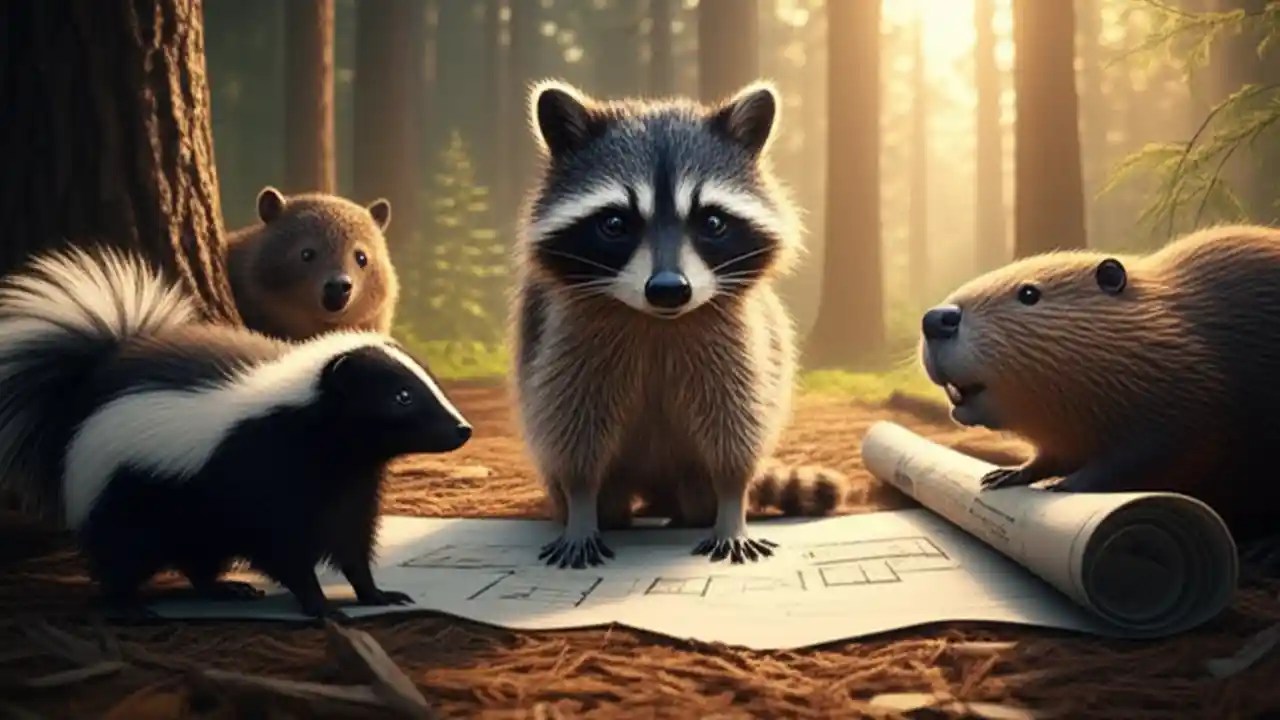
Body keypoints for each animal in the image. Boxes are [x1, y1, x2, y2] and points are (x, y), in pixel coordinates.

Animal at [511, 79, 850, 569]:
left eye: (712, 222)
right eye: (614, 223)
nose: (669, 289)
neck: (659, 322)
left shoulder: (735, 342)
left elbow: (737, 429)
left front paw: (732, 507)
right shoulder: (569, 339)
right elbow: (571, 428)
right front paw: (580, 507)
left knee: (695, 492)